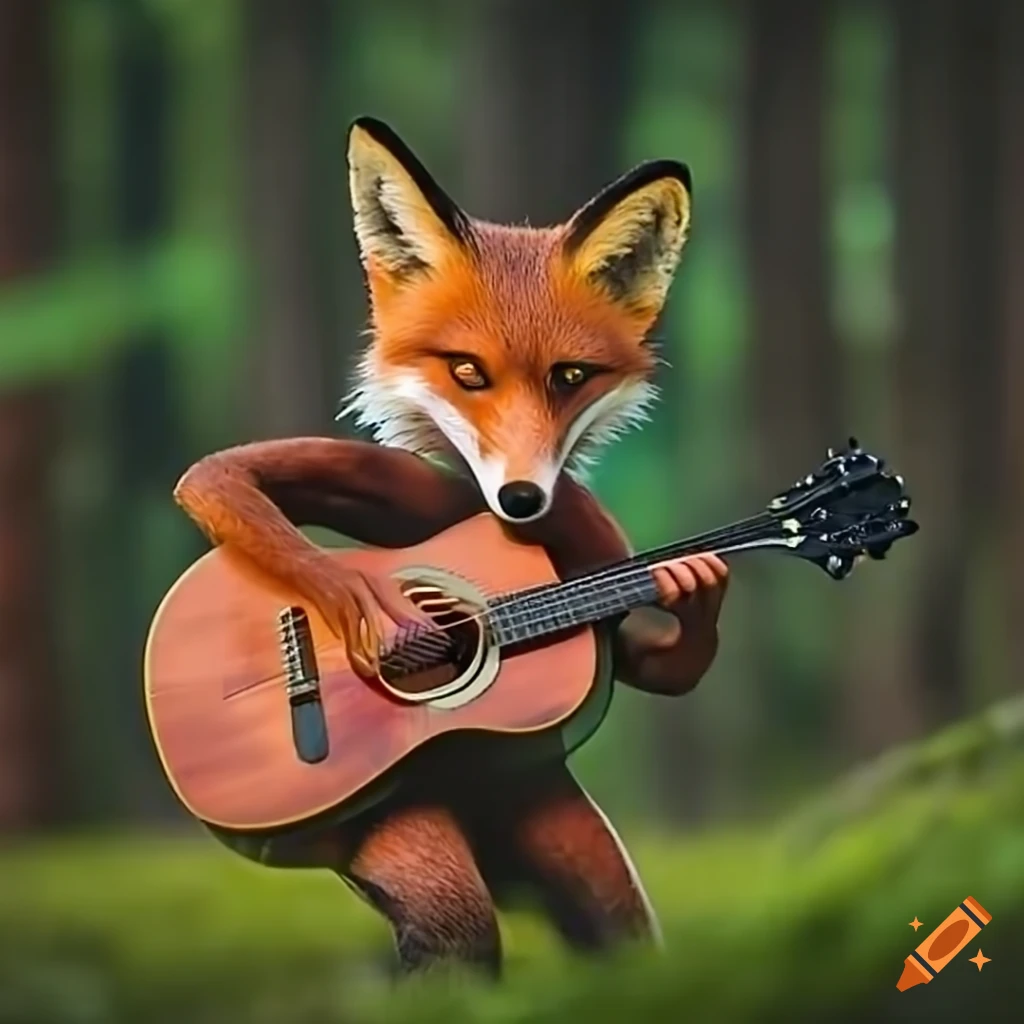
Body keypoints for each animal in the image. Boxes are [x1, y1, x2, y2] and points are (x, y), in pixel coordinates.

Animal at [172, 117, 730, 978]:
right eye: (467, 371)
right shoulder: (407, 481)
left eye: (571, 377)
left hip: (562, 834)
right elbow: (216, 475)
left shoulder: (604, 549)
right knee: (455, 926)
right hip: (396, 835)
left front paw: (695, 590)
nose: (522, 500)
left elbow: (653, 662)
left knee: (619, 934)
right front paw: (379, 618)